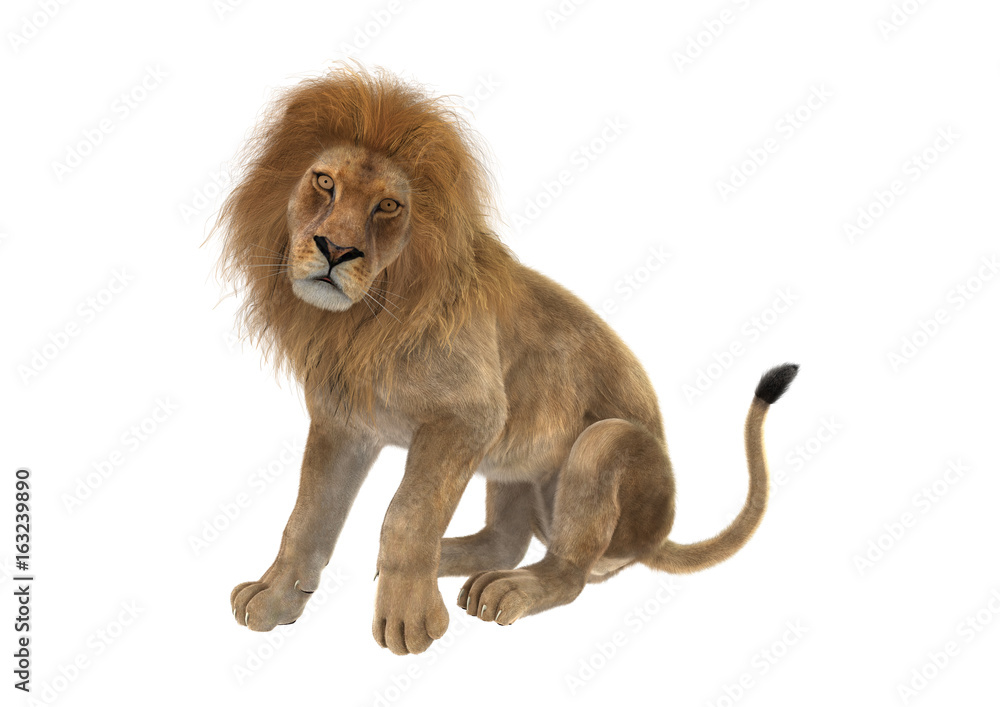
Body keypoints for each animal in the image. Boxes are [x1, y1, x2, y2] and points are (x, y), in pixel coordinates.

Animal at [216, 64, 798, 656]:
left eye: (389, 206)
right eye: (324, 183)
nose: (335, 250)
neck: (364, 321)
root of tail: (658, 535)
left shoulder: (469, 416)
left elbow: (406, 517)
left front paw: (408, 623)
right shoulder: (344, 422)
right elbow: (307, 517)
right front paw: (274, 600)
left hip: (604, 444)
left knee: (569, 573)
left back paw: (509, 590)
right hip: (513, 468)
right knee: (506, 541)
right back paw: (454, 563)